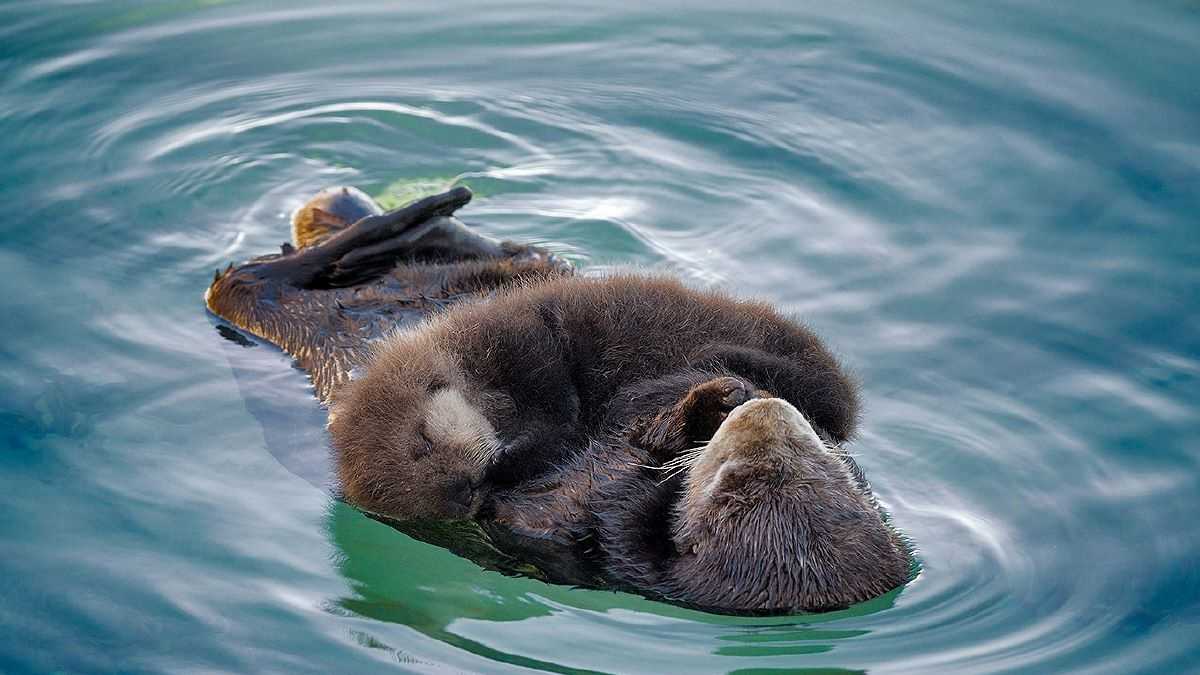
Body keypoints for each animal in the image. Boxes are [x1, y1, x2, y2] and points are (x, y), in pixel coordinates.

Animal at [206, 186, 913, 613]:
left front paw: (688, 412)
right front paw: (719, 392)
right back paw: (423, 212)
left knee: (256, 279)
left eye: (730, 483)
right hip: (496, 266)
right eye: (822, 459)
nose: (763, 413)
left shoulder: (590, 514)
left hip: (268, 306)